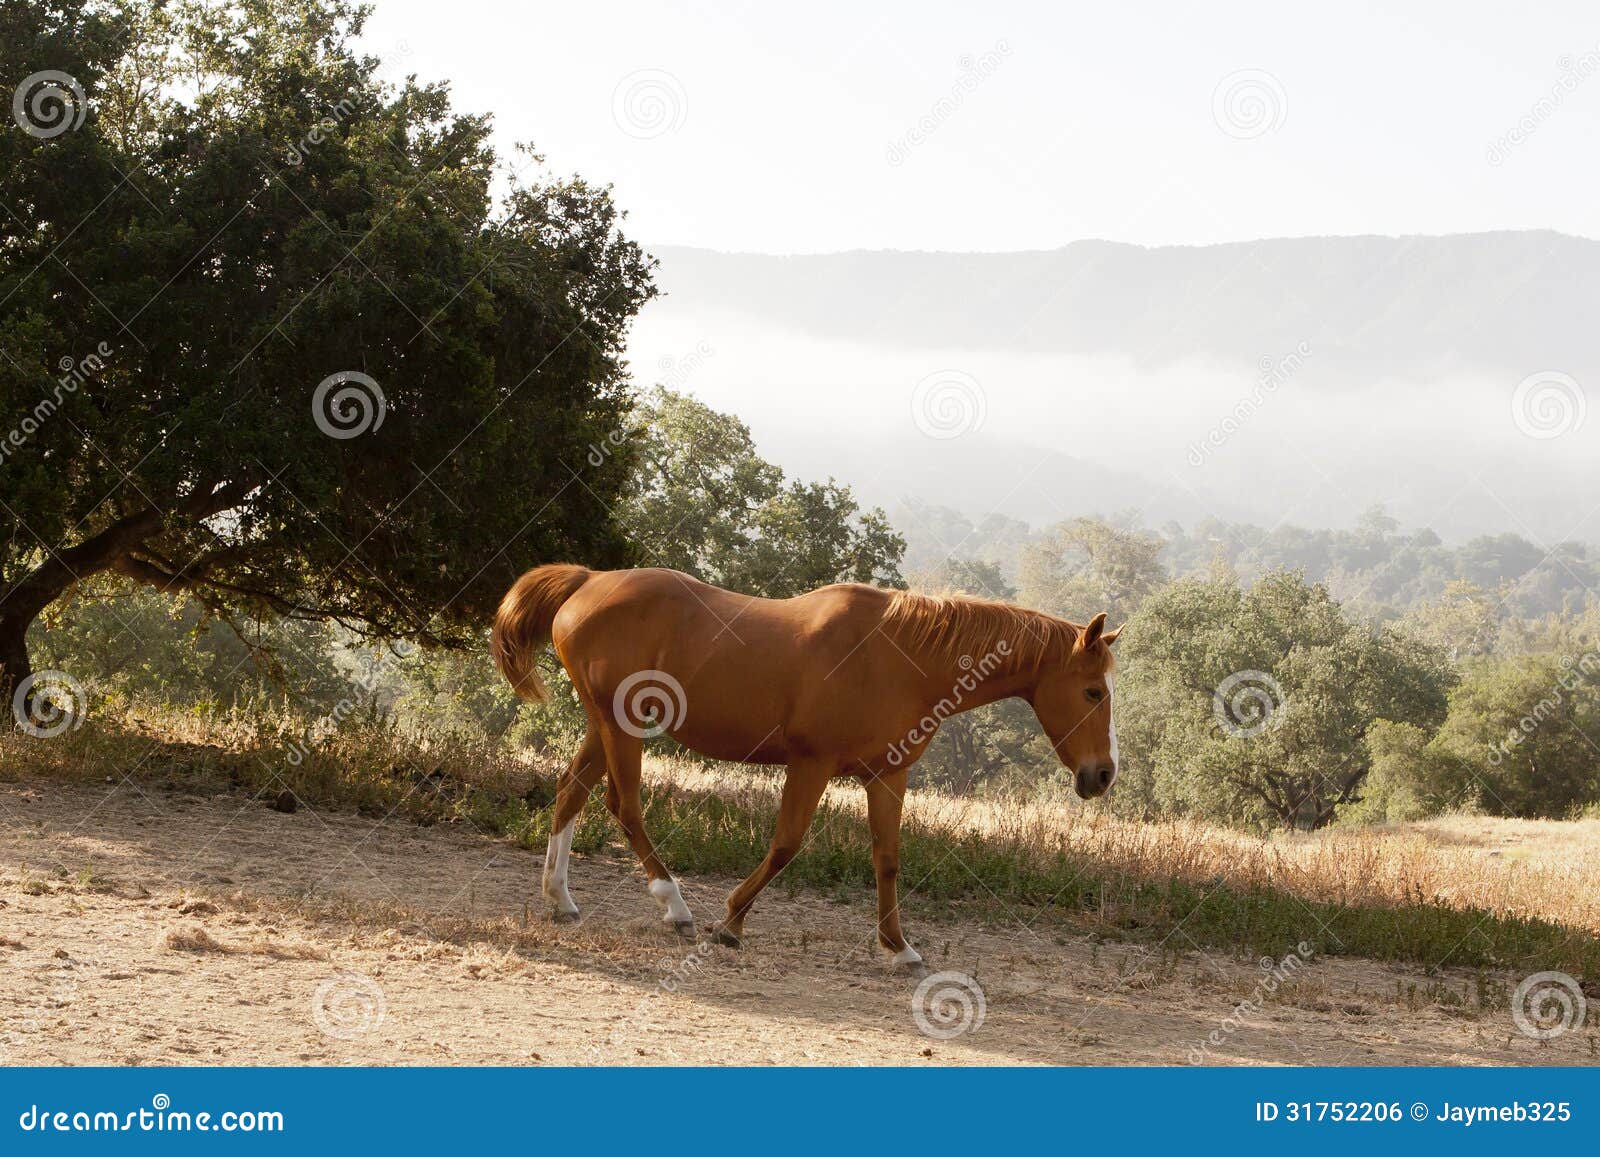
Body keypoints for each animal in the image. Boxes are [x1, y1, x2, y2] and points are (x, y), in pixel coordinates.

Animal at [491, 564, 1120, 975]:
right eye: (1093, 690)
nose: (1103, 775)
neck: (901, 657)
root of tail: (588, 581)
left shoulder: (887, 776)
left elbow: (887, 860)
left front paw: (899, 947)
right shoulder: (811, 765)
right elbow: (786, 845)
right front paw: (730, 924)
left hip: (606, 724)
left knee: (571, 791)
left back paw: (560, 899)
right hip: (622, 727)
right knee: (624, 806)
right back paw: (675, 906)